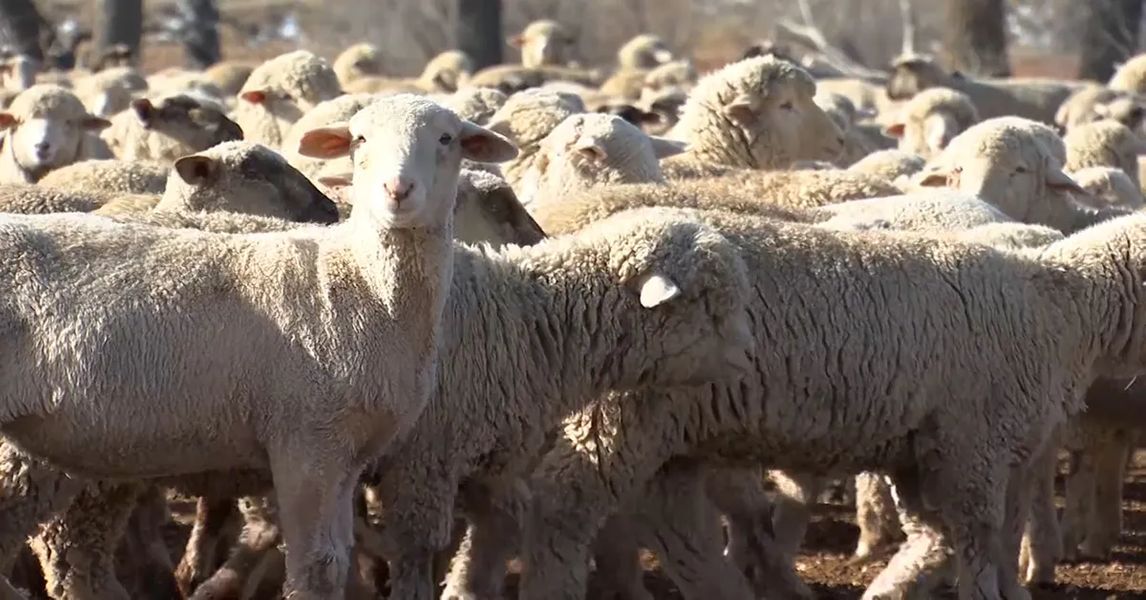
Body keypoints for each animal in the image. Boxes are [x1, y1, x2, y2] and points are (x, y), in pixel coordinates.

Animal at [518, 206, 1146, 600]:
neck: (1064, 304)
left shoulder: (927, 448)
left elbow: (937, 537)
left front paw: (888, 591)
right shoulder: (975, 446)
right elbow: (976, 541)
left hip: (669, 435)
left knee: (680, 533)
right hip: (618, 418)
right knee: (563, 511)